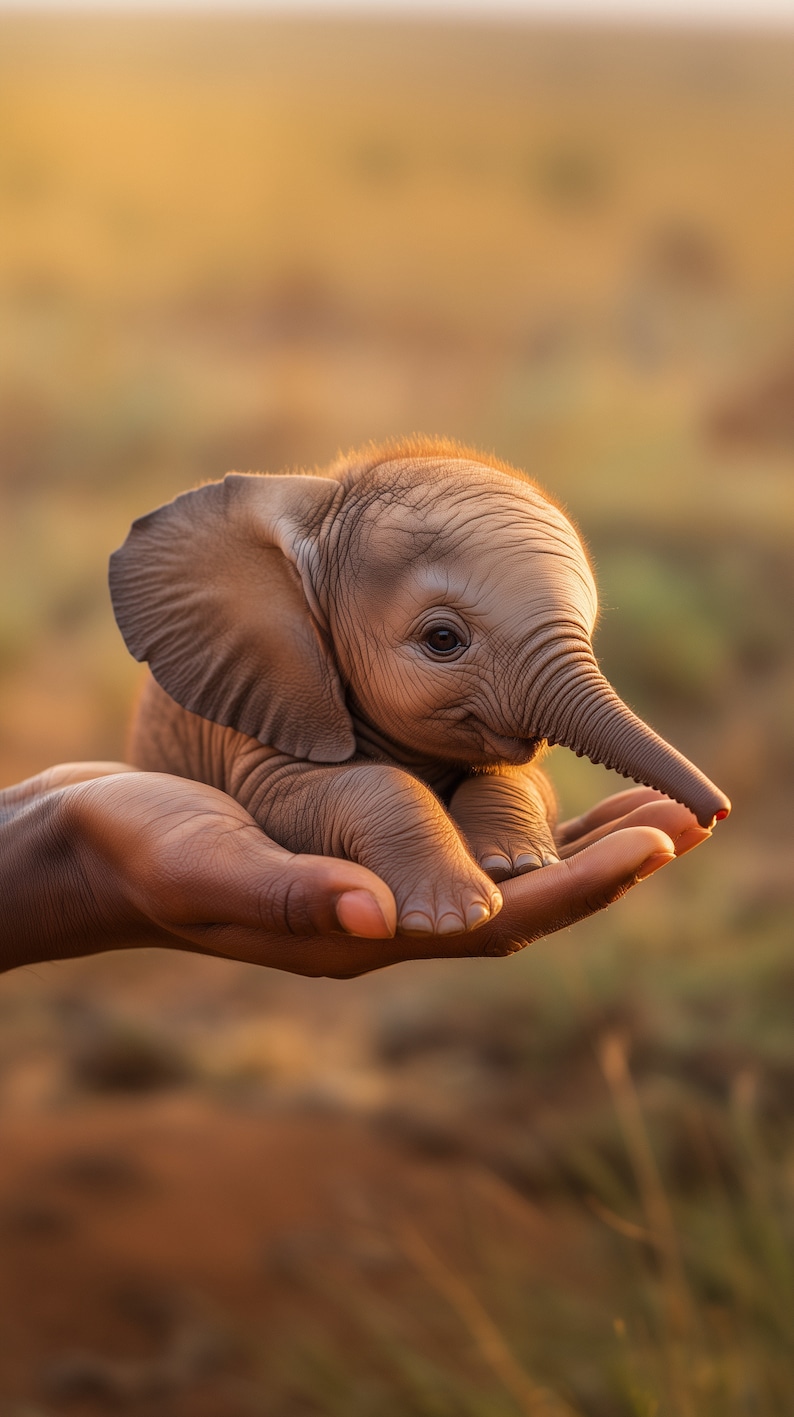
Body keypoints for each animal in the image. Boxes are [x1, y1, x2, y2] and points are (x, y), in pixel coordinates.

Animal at [109, 435, 730, 940]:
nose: (718, 813)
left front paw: (518, 867)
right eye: (442, 640)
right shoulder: (274, 699)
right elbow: (309, 791)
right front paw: (456, 917)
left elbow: (526, 777)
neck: (322, 505)